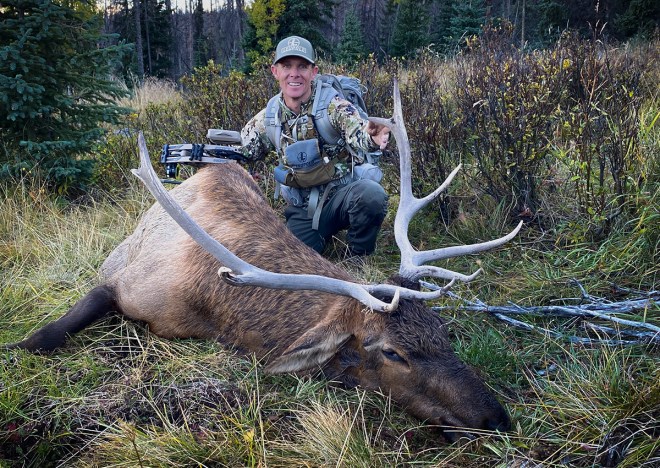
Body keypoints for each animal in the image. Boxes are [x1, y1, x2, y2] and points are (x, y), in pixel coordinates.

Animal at [7, 82, 522, 441]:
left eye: (443, 331)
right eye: (392, 351)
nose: (497, 418)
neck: (213, 311)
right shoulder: (119, 281)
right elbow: (50, 332)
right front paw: (18, 347)